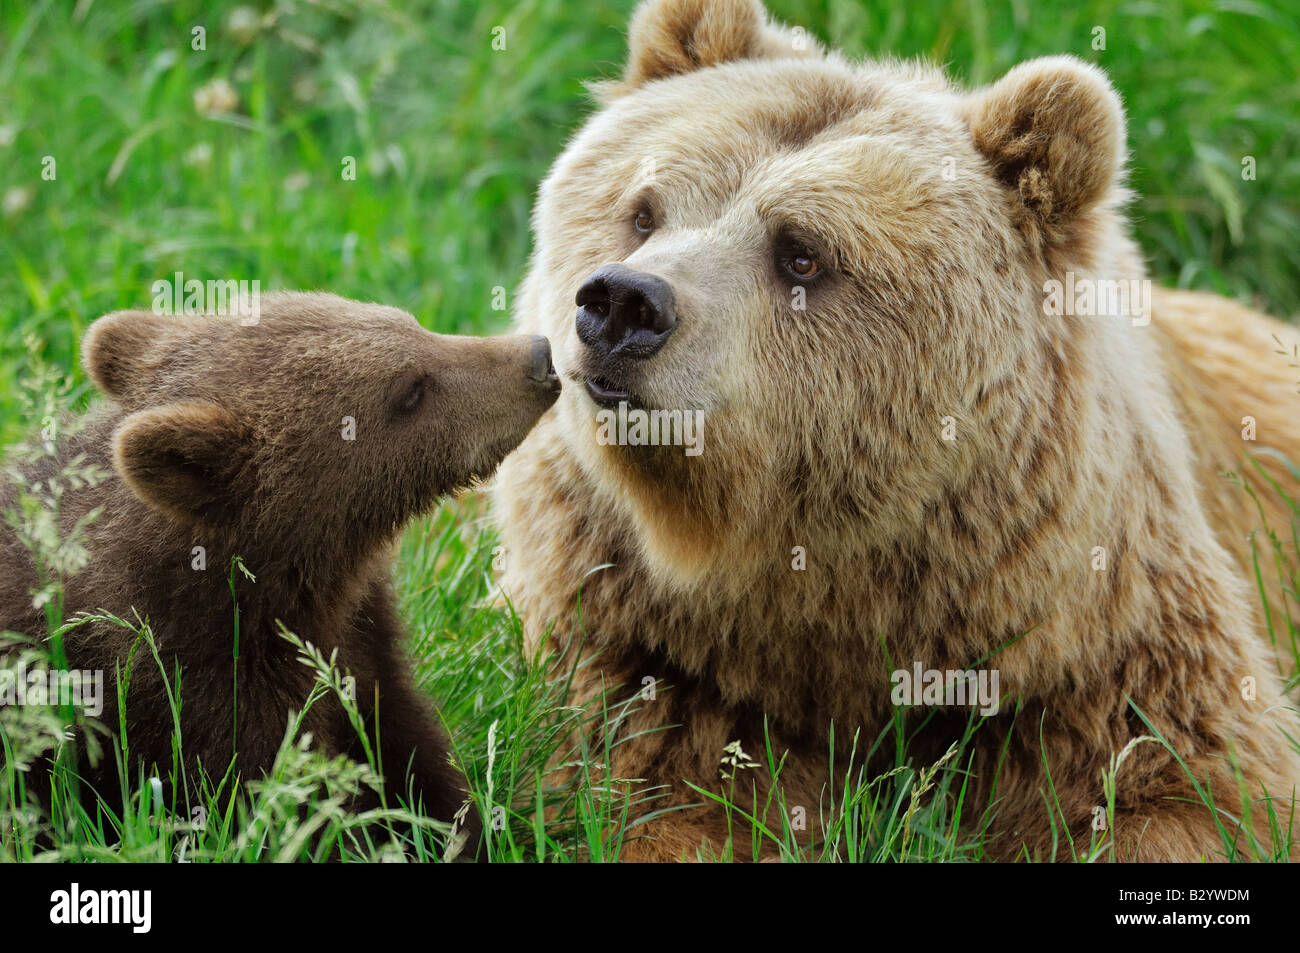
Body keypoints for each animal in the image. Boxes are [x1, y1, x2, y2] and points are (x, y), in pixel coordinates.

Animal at [1, 291, 560, 859]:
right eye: (409, 389)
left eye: (413, 325)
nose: (539, 354)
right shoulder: (196, 693)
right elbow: (285, 806)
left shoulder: (358, 640)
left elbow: (406, 752)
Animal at [493, 0, 1300, 862]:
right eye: (643, 210)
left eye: (802, 253)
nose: (622, 305)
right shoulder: (647, 639)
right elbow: (651, 785)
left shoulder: (1091, 645)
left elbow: (1187, 790)